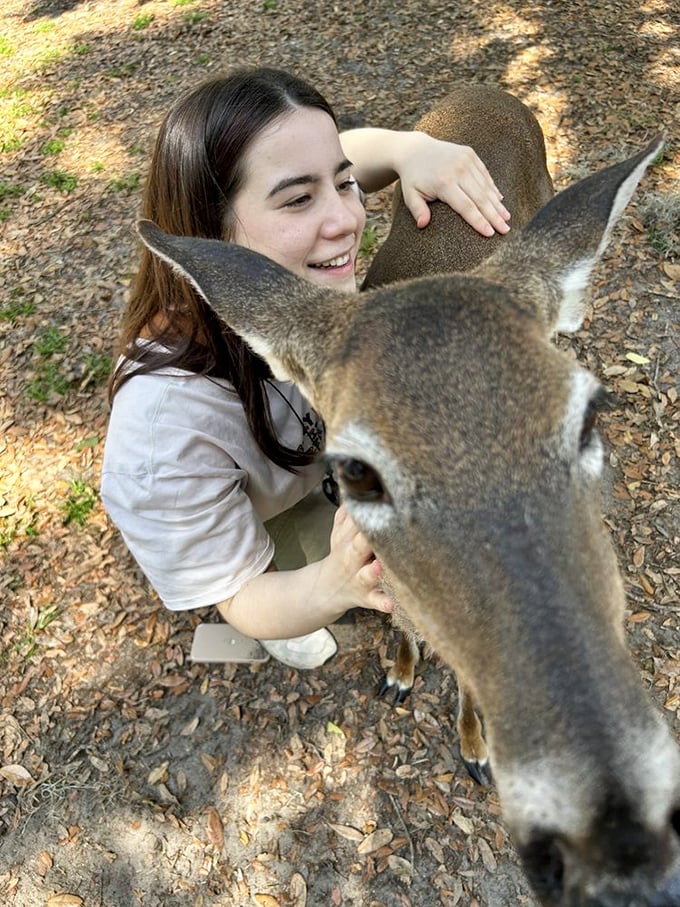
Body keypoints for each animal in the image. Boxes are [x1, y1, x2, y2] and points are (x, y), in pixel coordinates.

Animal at [134, 83, 680, 907]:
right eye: (356, 471)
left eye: (591, 413)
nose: (617, 836)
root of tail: (490, 87)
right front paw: (398, 670)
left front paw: (474, 744)